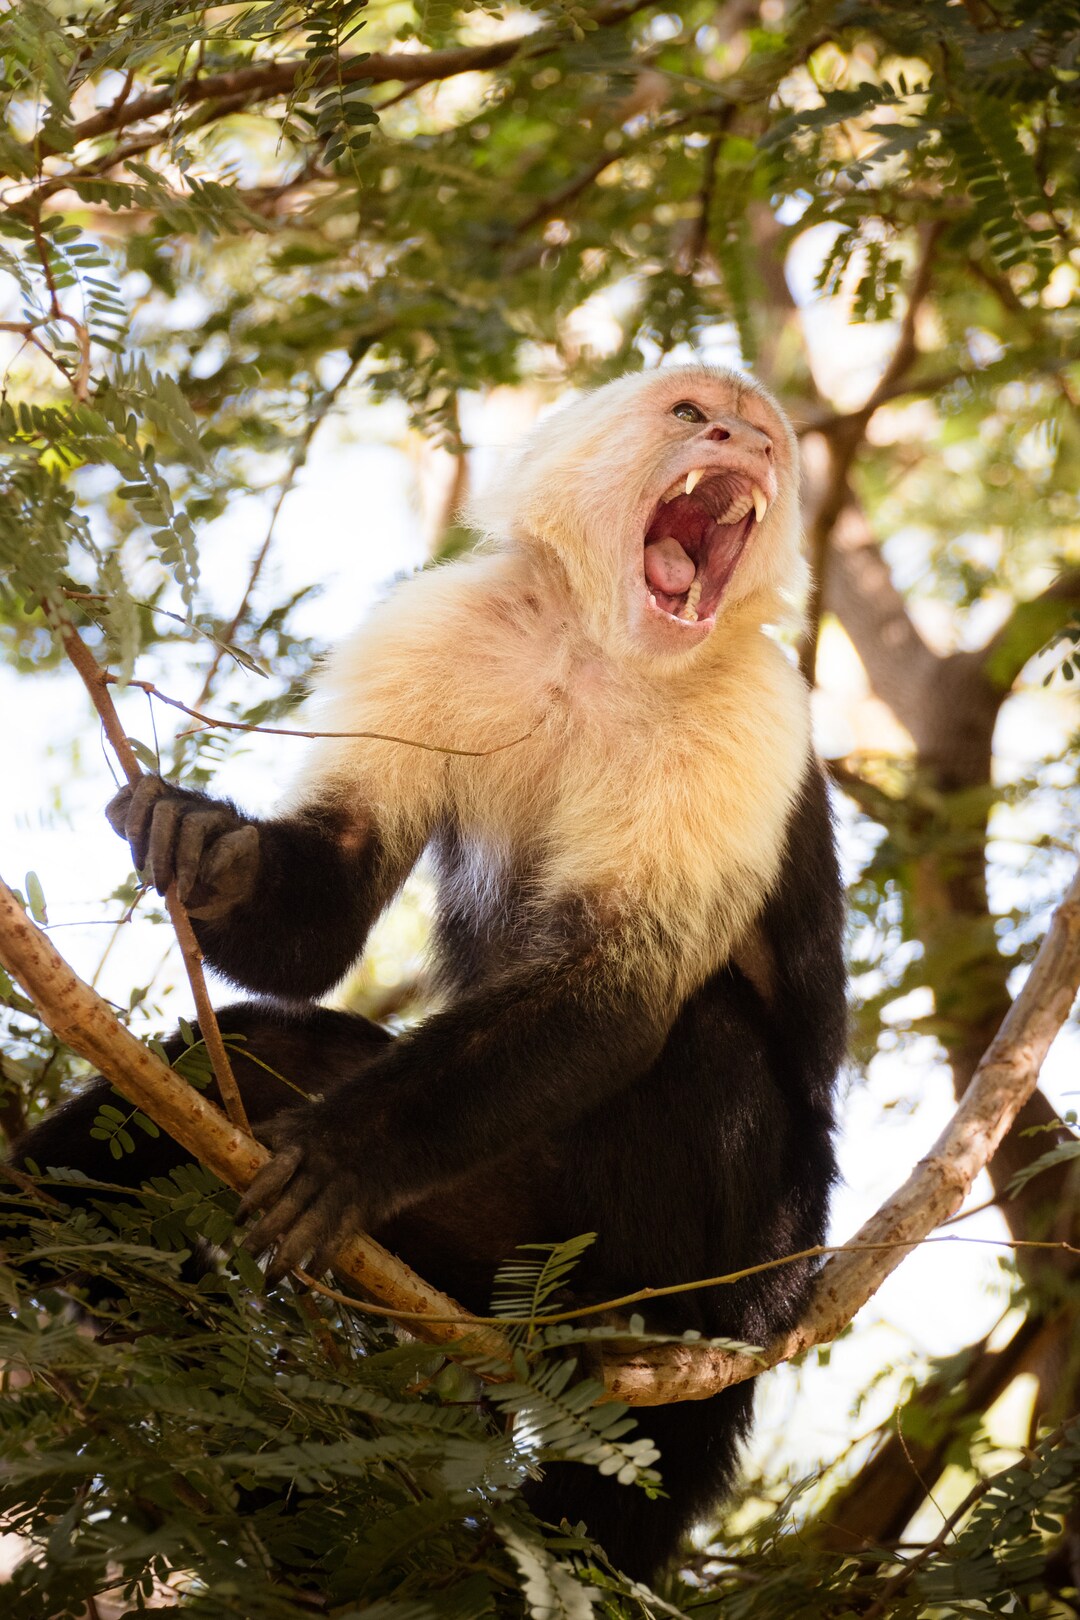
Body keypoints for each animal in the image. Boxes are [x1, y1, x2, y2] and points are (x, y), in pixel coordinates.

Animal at [12, 364, 846, 1584]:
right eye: (694, 416)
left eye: (770, 440)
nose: (745, 443)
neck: (606, 648)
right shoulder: (438, 627)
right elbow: (328, 912)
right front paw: (208, 851)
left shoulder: (754, 711)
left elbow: (616, 991)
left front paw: (349, 1152)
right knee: (249, 1062)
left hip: (753, 1270)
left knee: (710, 1043)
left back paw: (625, 1329)